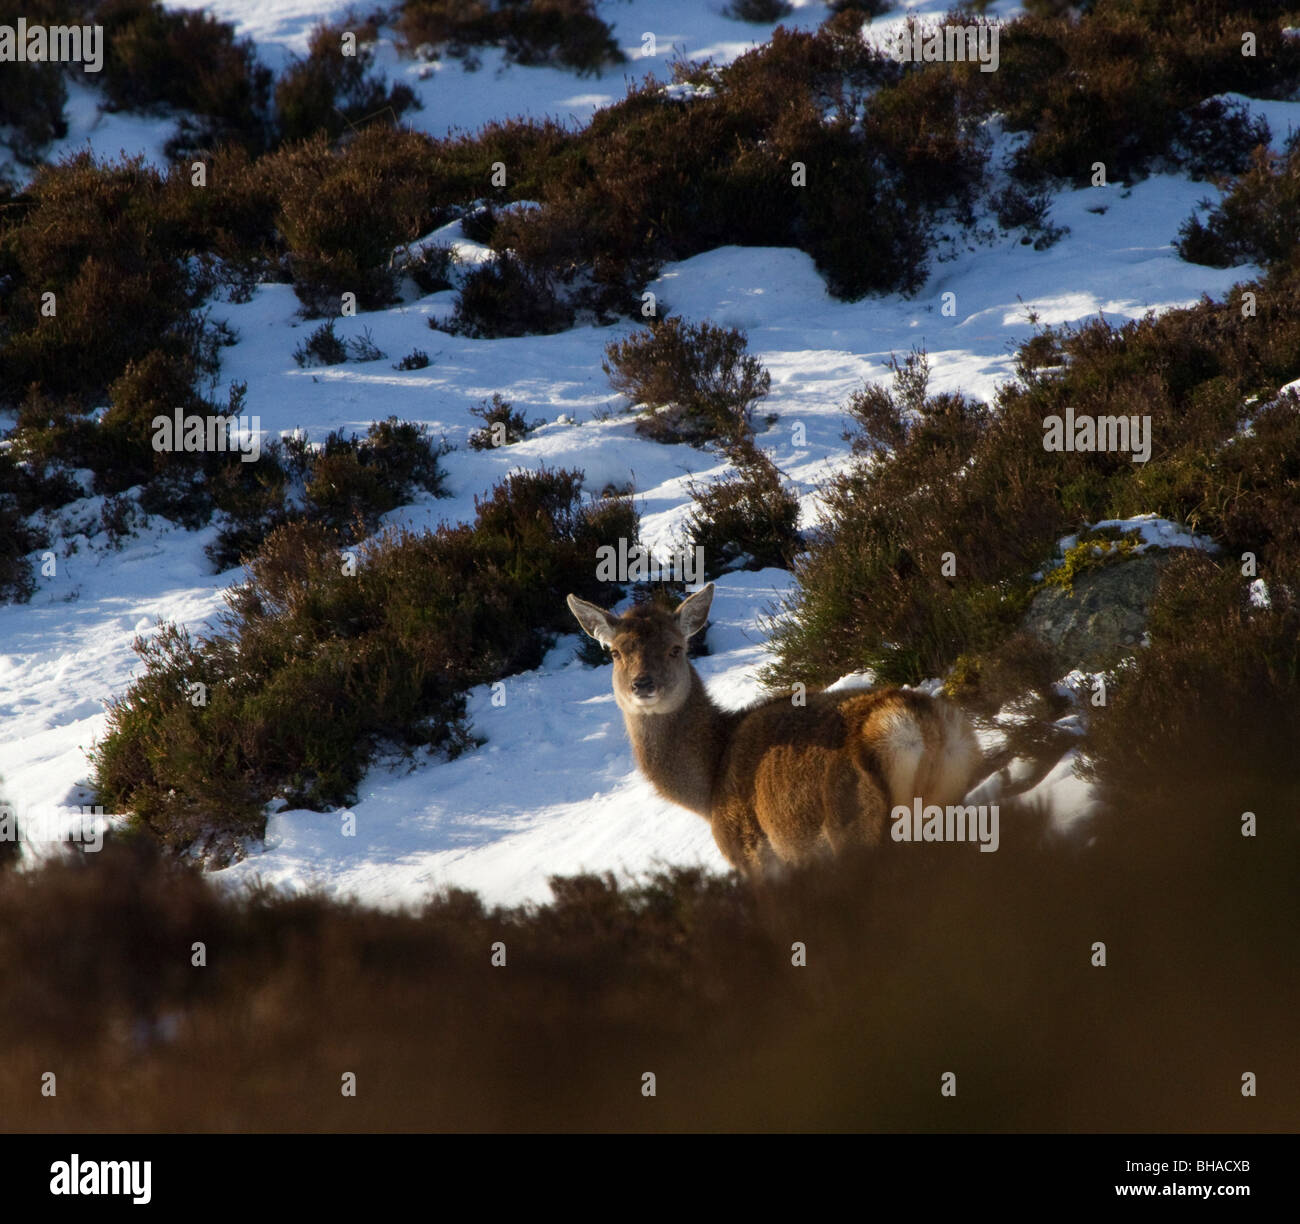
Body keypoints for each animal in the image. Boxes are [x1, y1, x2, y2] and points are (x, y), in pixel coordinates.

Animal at [567, 582, 981, 876]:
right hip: (950, 800)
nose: (643, 684)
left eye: (675, 648)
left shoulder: (755, 856)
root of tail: (919, 728)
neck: (708, 787)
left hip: (855, 828)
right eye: (616, 653)